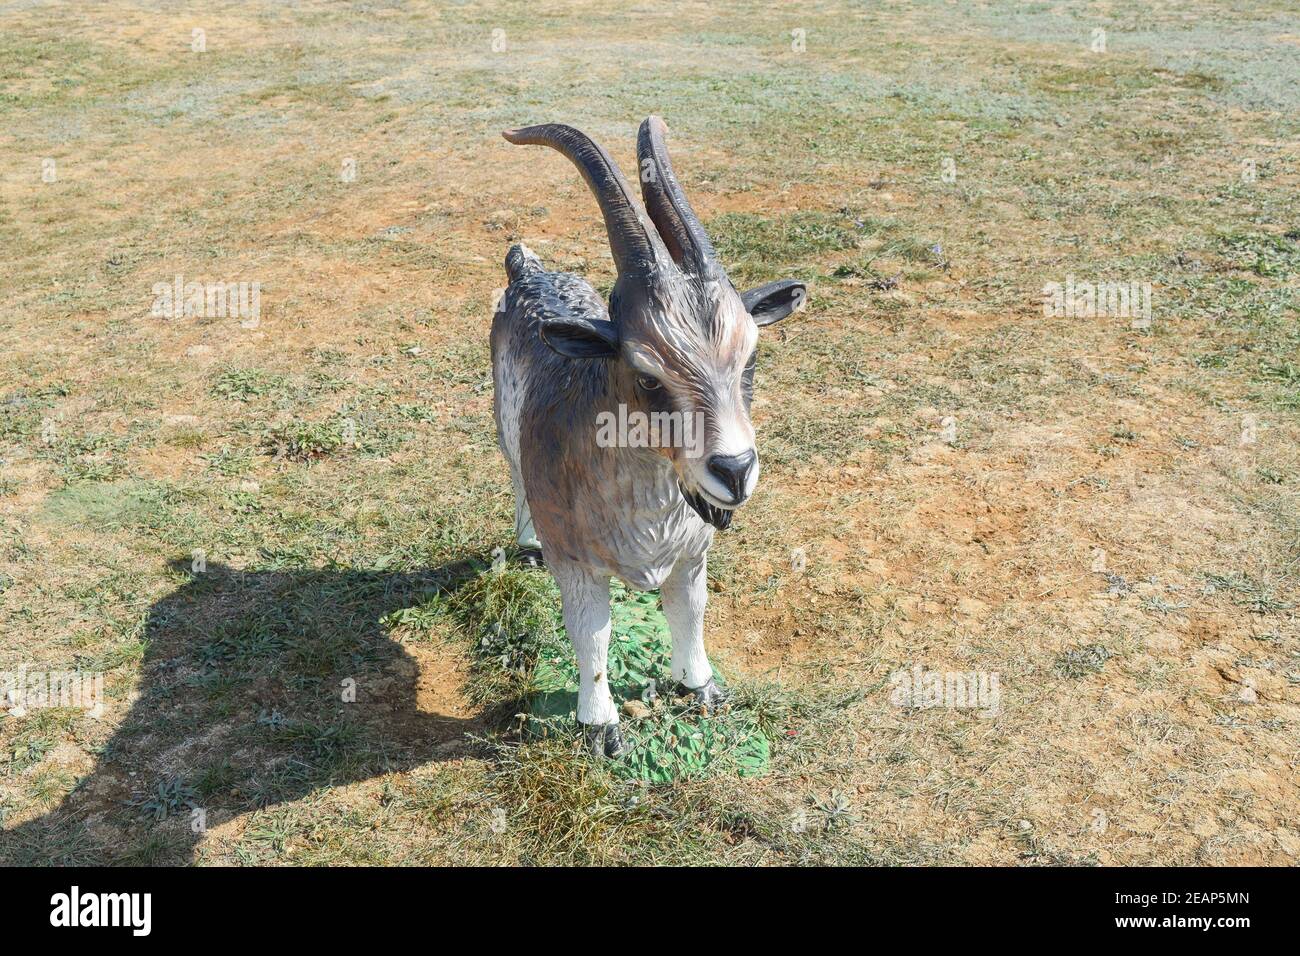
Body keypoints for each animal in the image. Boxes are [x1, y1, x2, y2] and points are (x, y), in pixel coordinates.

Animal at [492, 118, 805, 757]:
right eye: (646, 375)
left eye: (751, 358)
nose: (735, 470)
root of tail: (525, 266)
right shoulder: (577, 563)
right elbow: (591, 634)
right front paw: (600, 724)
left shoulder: (691, 554)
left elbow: (689, 613)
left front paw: (700, 686)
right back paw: (524, 542)